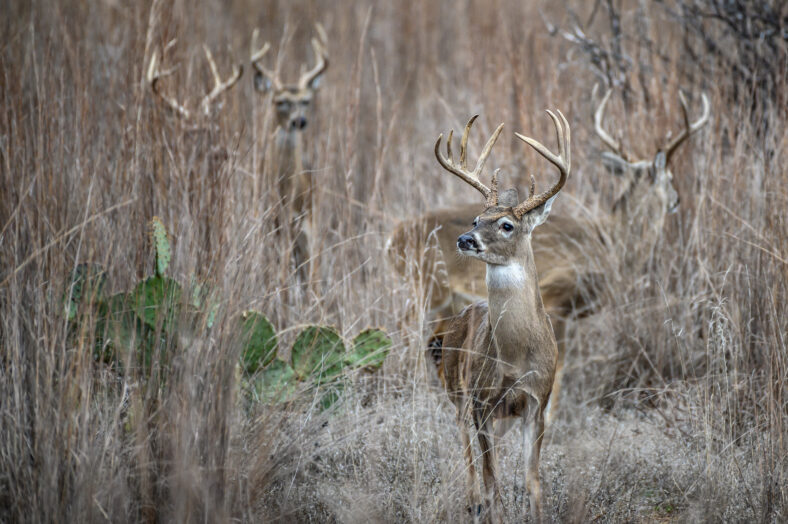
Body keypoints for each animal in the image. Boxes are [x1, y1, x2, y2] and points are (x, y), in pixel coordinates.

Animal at [250, 27, 328, 283]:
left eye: (306, 101)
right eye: (280, 101)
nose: (299, 121)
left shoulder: (303, 223)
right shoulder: (270, 224)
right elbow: (277, 272)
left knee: (312, 270)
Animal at [389, 88, 709, 427]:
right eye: (670, 178)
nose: (677, 200)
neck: (611, 242)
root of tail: (392, 238)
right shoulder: (560, 296)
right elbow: (561, 365)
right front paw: (551, 416)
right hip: (425, 289)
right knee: (404, 336)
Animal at [432, 111, 570, 522]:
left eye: (507, 225)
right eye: (476, 218)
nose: (465, 239)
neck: (515, 355)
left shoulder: (537, 401)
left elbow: (532, 481)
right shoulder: (483, 401)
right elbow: (492, 479)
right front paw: (490, 508)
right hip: (456, 390)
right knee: (467, 452)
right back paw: (471, 501)